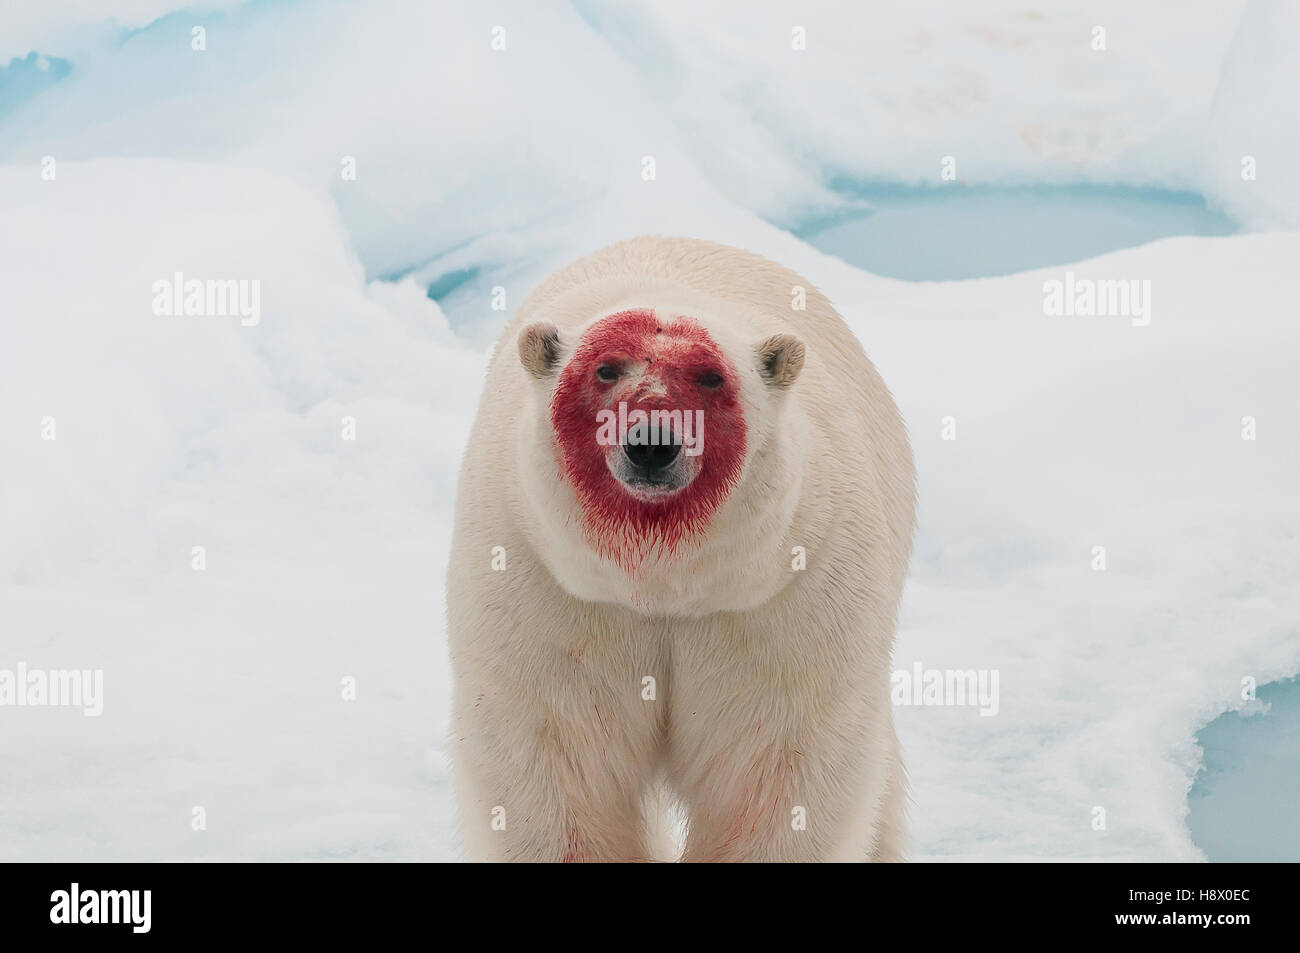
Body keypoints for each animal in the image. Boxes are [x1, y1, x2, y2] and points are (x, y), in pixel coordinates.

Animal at [447, 236, 915, 862]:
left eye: (710, 377)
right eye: (605, 368)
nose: (652, 441)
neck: (665, 585)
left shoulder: (786, 596)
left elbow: (777, 769)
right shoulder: (546, 586)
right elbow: (554, 762)